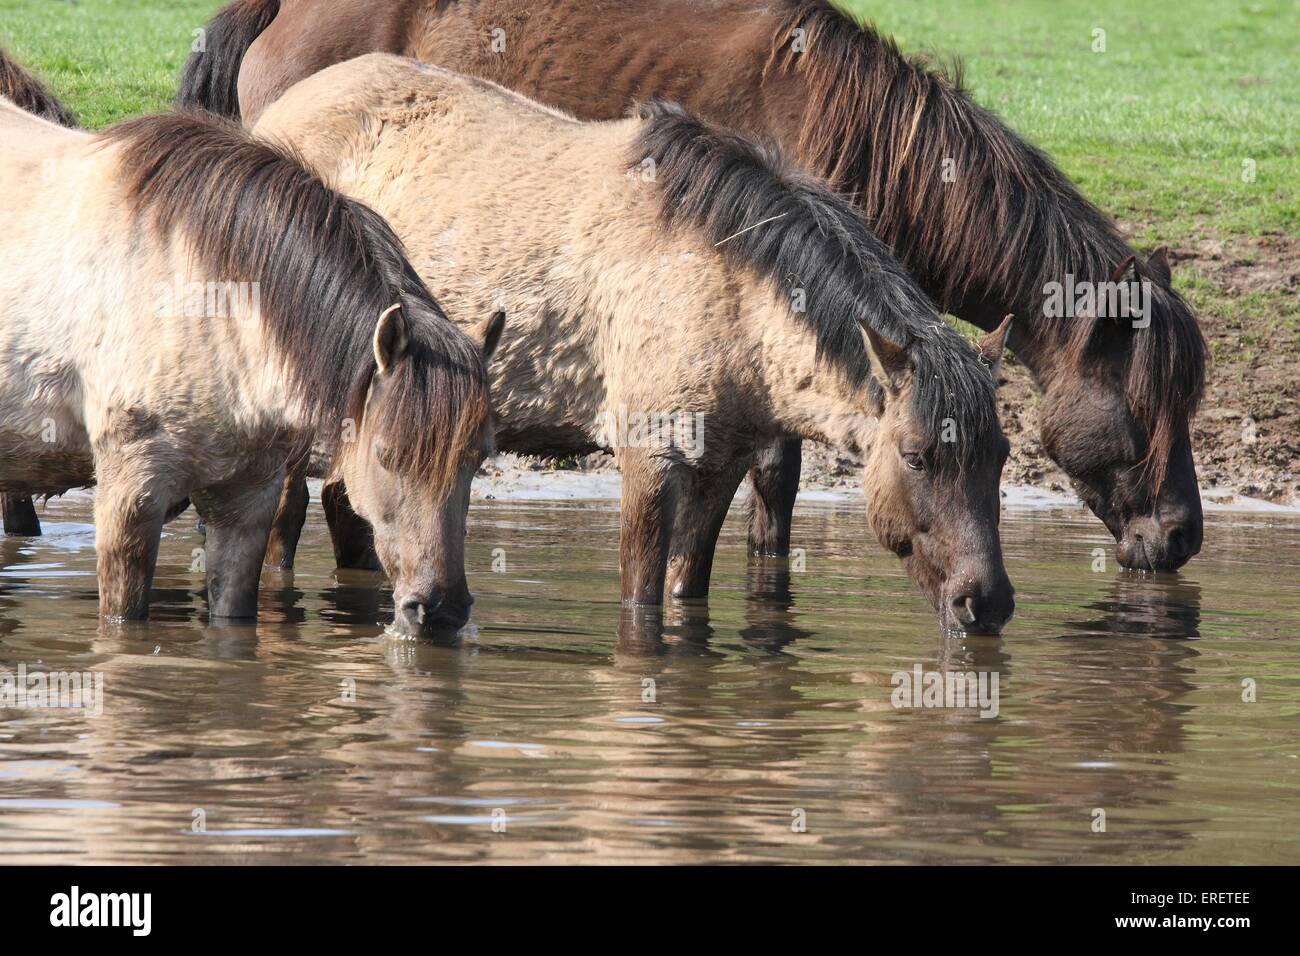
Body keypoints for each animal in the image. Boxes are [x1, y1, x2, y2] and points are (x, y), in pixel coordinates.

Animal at [0, 100, 497, 634]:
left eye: (478, 459)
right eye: (386, 455)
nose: (442, 610)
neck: (204, 293)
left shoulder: (247, 503)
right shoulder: (130, 498)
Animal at [252, 54, 1017, 634]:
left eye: (1001, 457)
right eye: (916, 456)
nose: (987, 603)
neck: (729, 282)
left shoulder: (721, 465)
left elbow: (685, 590)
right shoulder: (650, 458)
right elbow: (641, 597)